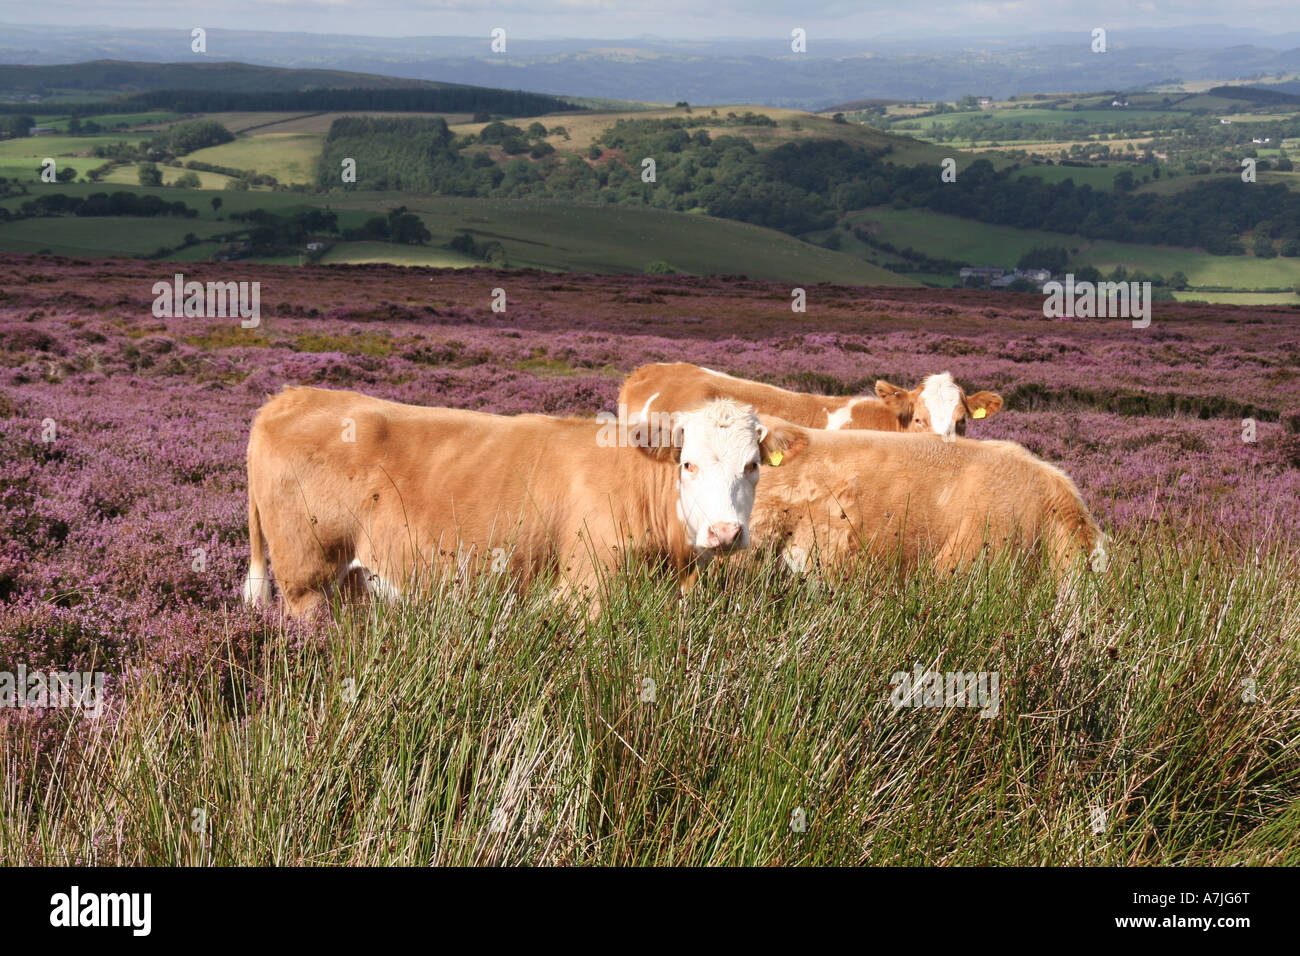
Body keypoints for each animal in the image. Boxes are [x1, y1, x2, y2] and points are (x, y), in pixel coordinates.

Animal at [242, 386, 805, 616]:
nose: (725, 533)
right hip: (306, 581)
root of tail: (289, 397)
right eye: (688, 464)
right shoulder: (588, 592)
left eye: (752, 466)